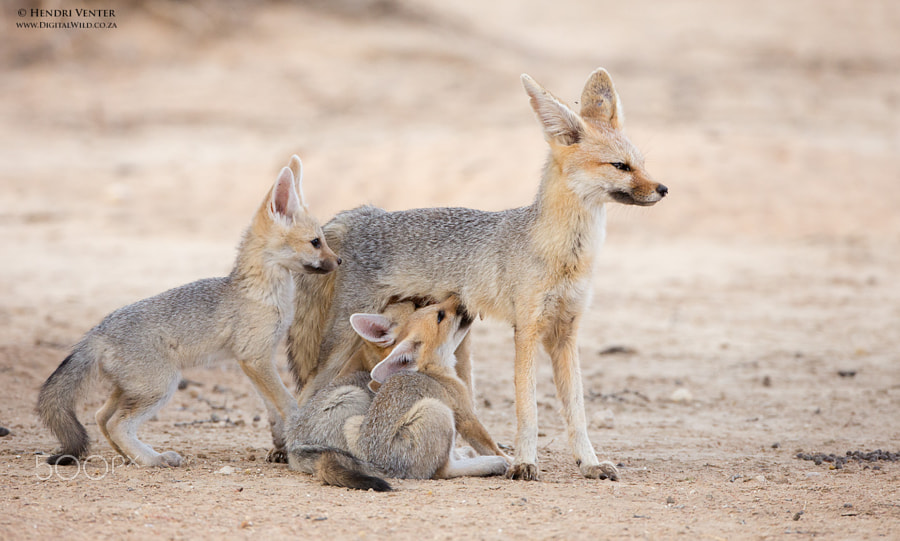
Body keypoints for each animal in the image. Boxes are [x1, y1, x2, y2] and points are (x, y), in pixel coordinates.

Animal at [36, 156, 340, 467]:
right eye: (316, 242)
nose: (339, 260)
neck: (262, 292)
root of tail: (98, 332)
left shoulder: (258, 360)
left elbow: (273, 409)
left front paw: (280, 443)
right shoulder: (255, 358)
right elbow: (288, 403)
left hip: (132, 389)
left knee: (100, 418)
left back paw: (132, 457)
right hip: (162, 386)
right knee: (117, 425)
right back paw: (154, 459)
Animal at [288, 296, 509, 490]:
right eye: (440, 315)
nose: (461, 296)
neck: (433, 370)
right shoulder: (466, 416)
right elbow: (488, 443)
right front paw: (511, 460)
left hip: (354, 423)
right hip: (432, 410)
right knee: (441, 470)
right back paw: (492, 463)